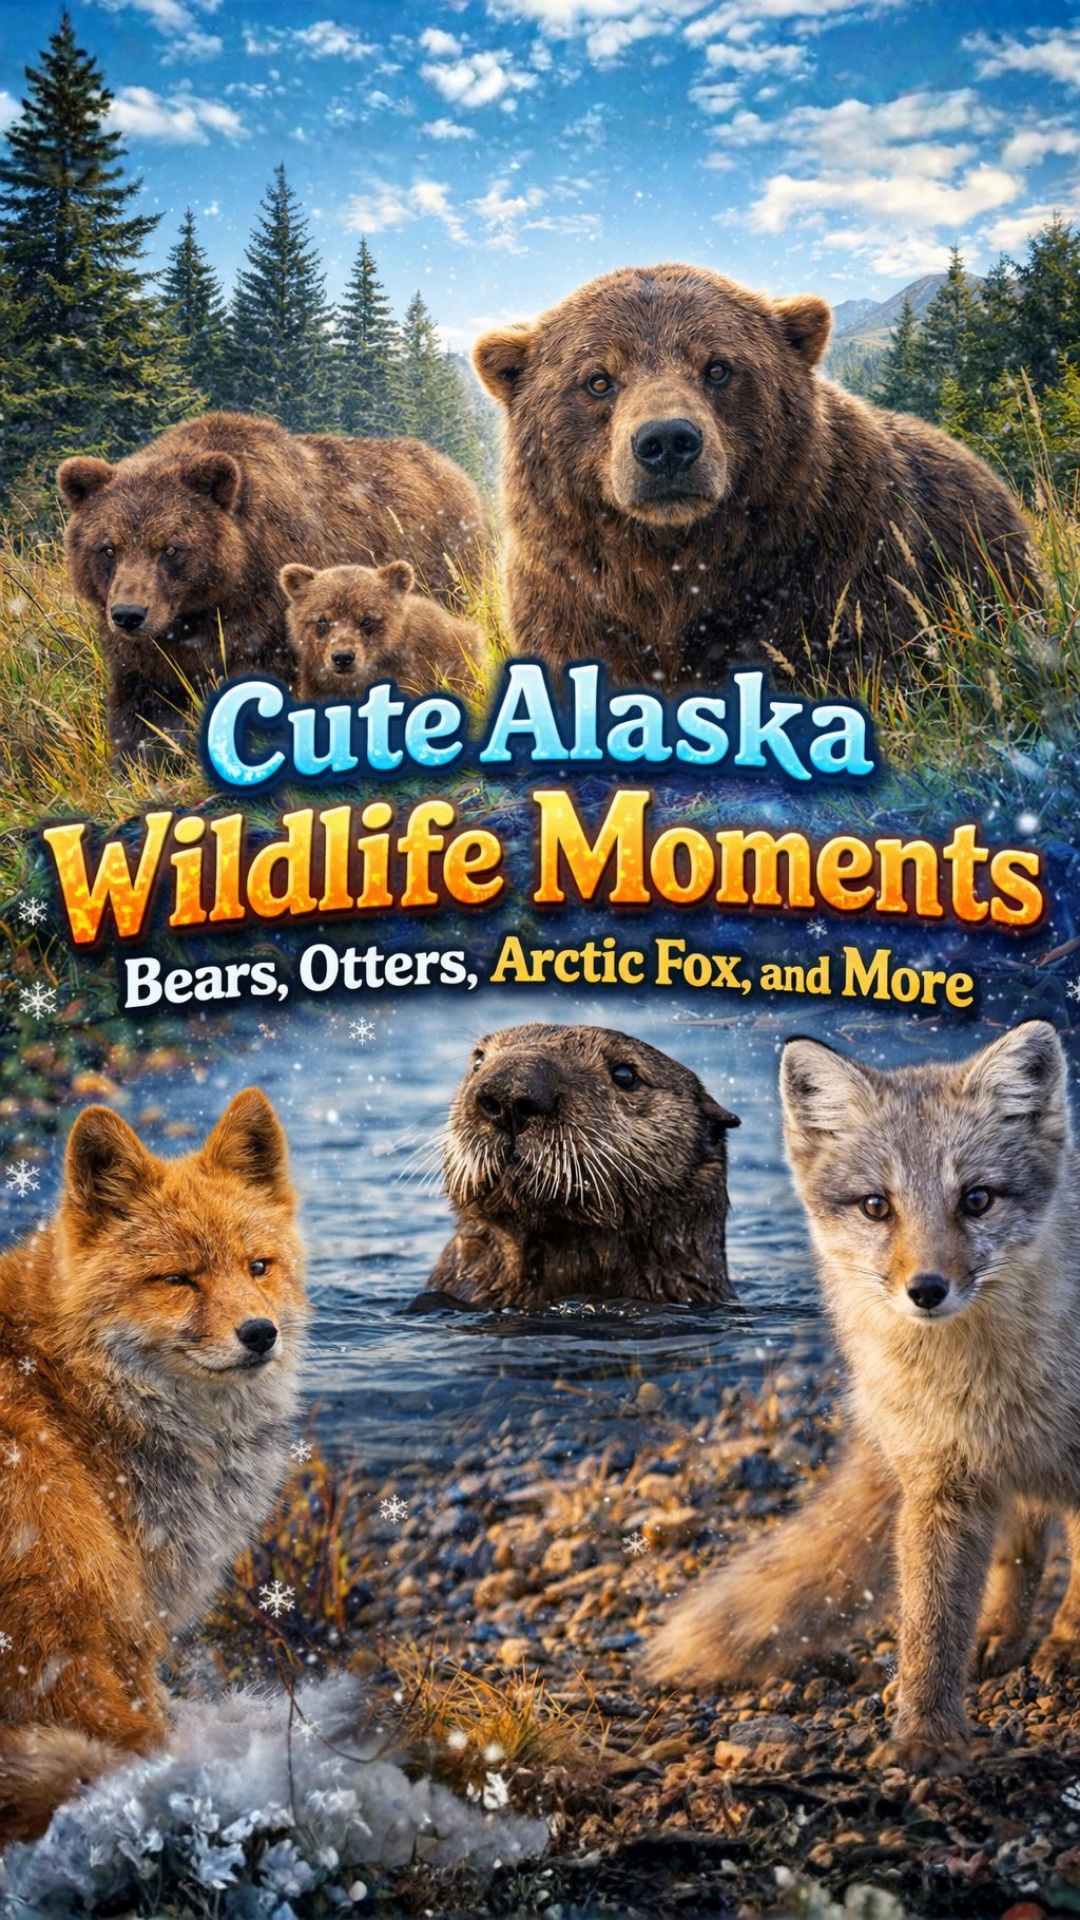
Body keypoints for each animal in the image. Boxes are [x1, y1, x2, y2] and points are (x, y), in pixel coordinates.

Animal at [645, 1020, 1080, 1772]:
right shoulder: (942, 1480)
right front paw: (926, 1734)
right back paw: (1000, 1630)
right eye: (878, 1207)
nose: (927, 1290)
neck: (994, 1381)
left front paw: (1068, 1644)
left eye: (977, 1199)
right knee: (1022, 1538)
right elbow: (929, 1623)